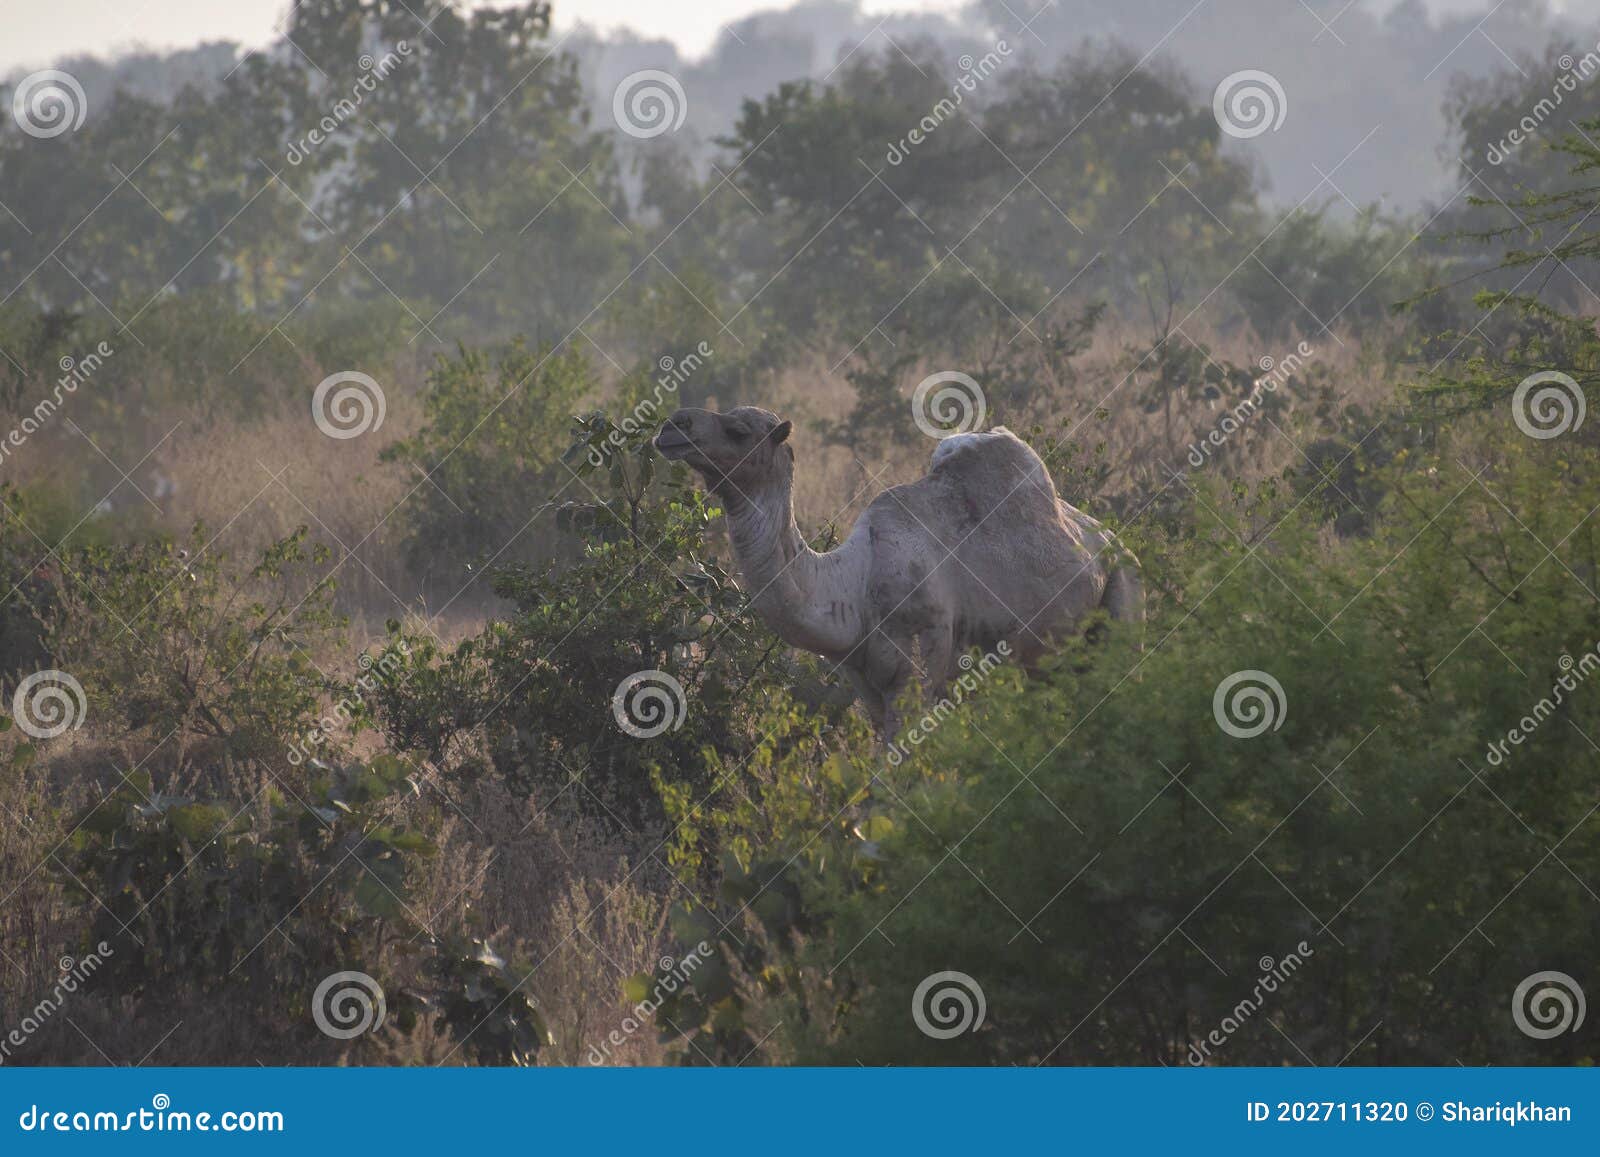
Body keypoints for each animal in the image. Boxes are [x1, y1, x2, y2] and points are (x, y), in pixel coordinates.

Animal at [654, 406, 1142, 734]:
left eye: (738, 430)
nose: (672, 425)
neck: (852, 584)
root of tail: (1114, 544)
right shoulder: (866, 684)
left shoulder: (916, 672)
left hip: (1123, 602)